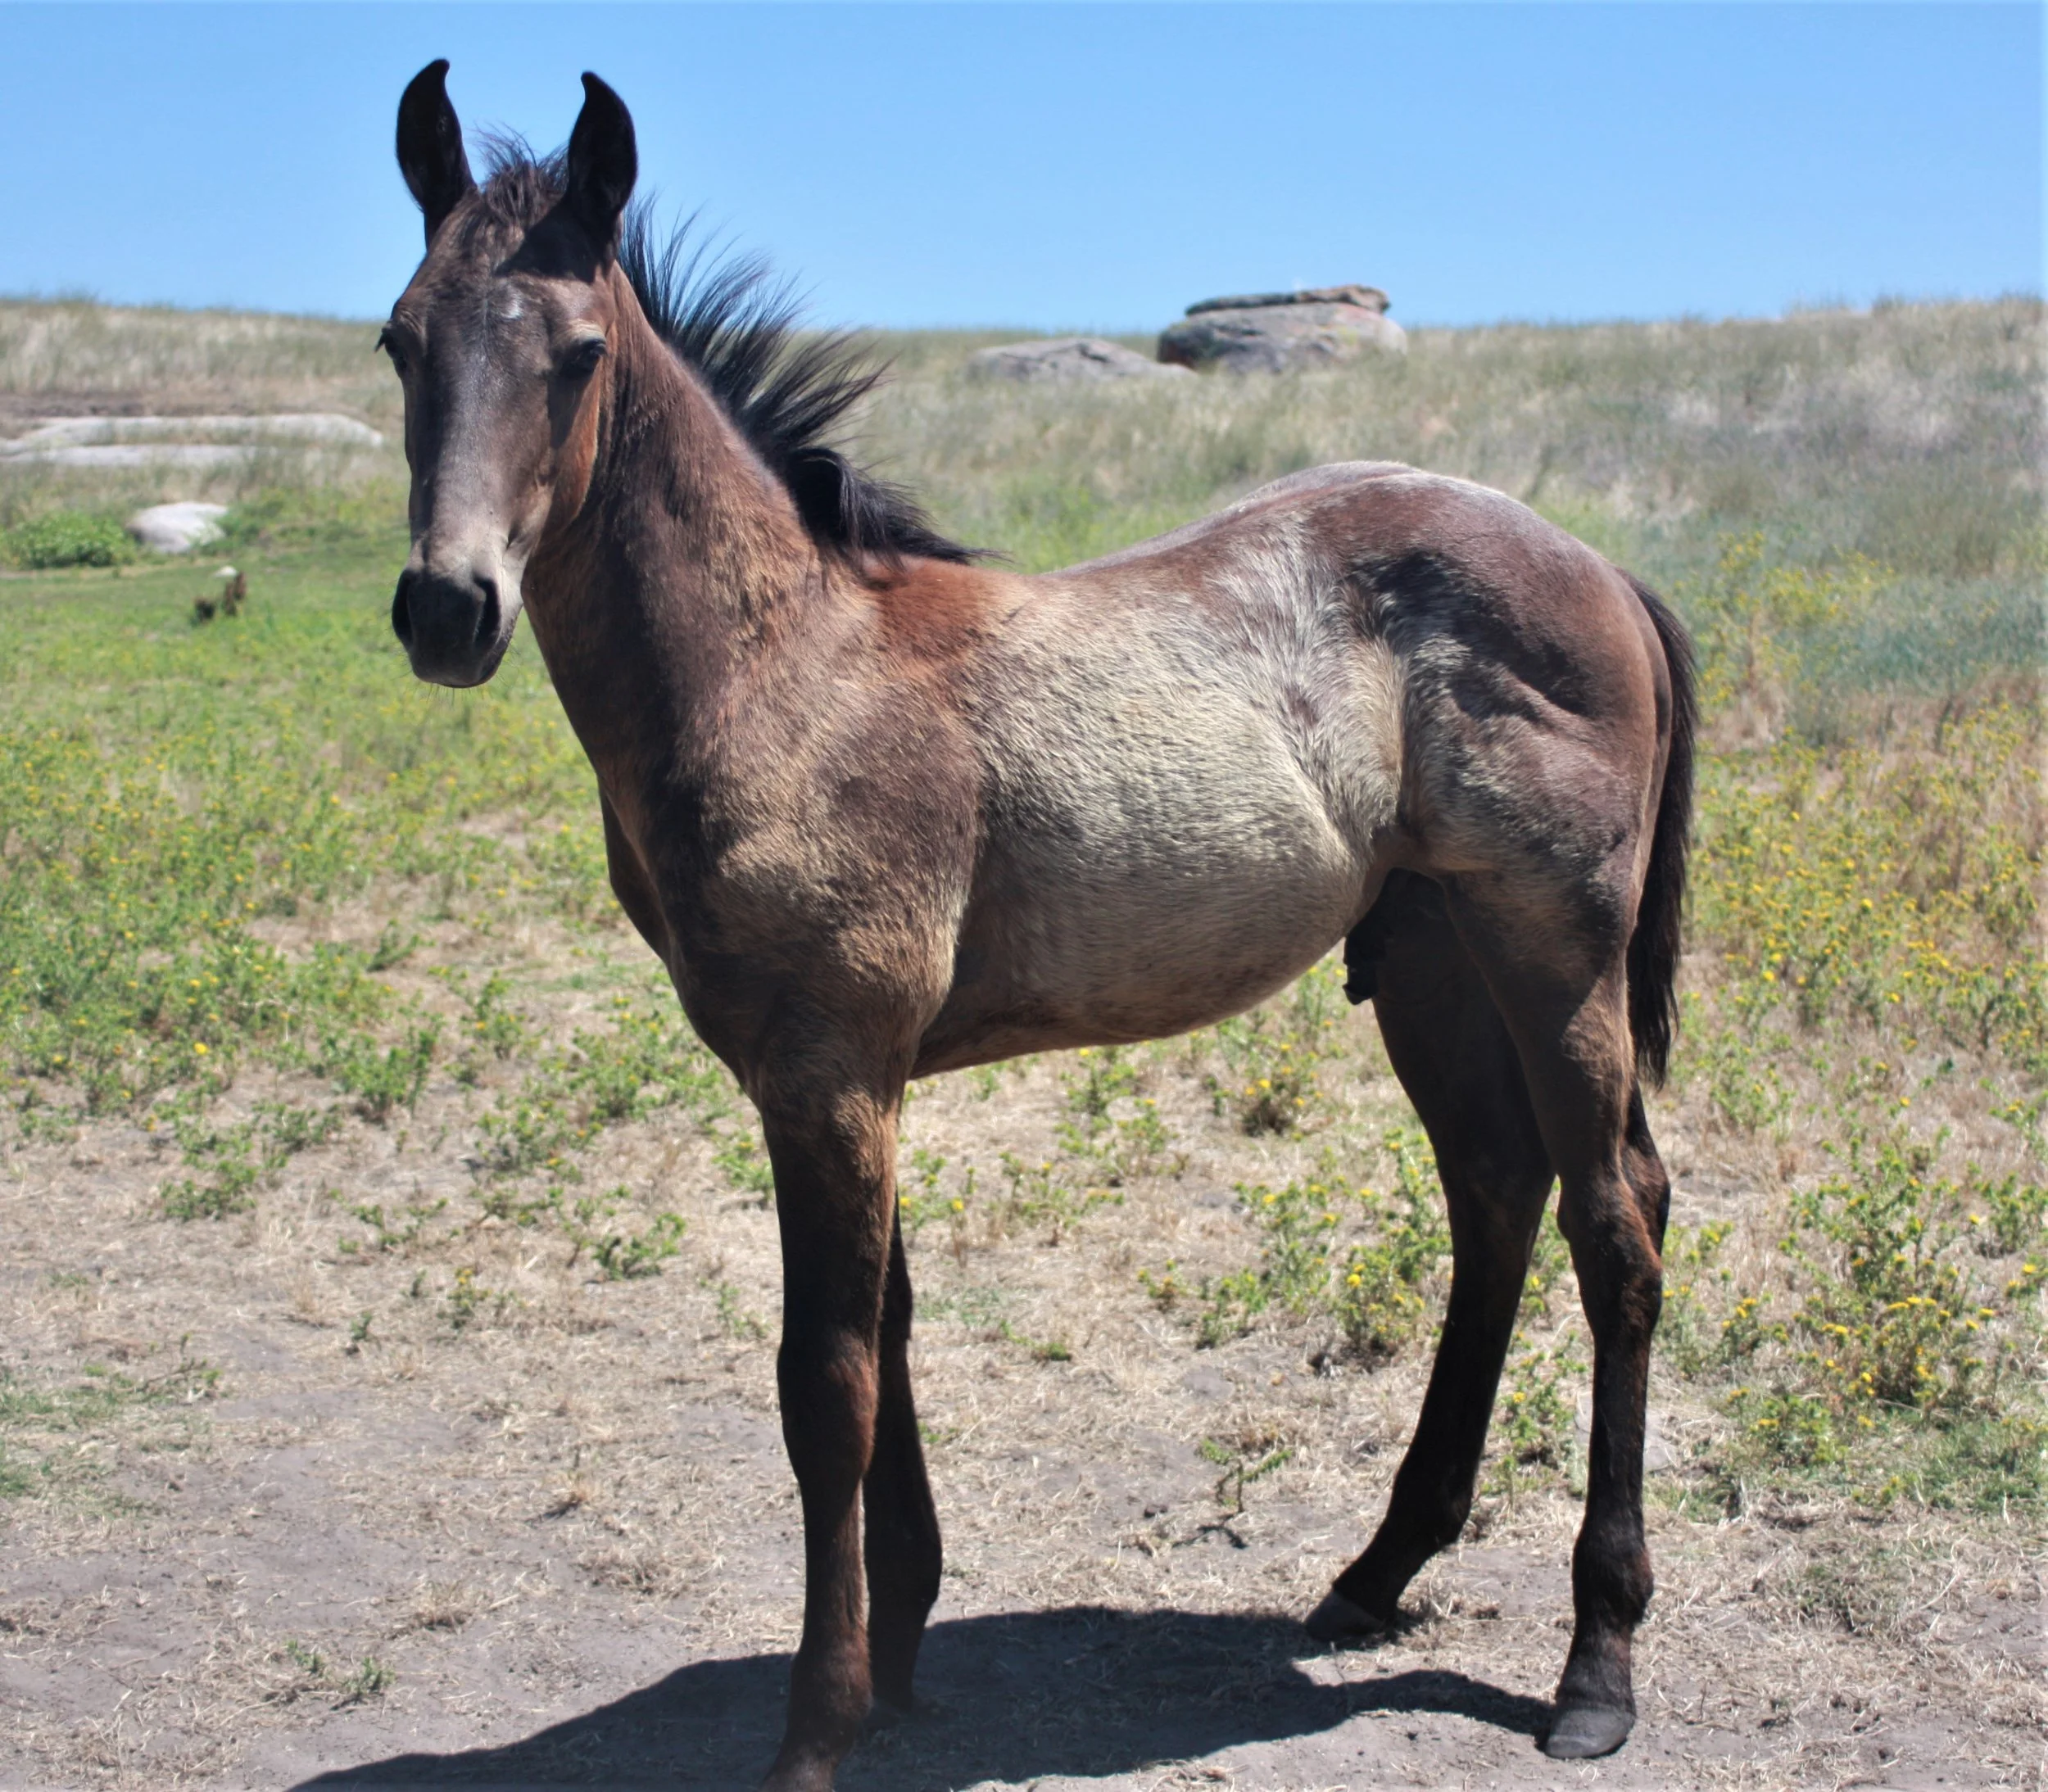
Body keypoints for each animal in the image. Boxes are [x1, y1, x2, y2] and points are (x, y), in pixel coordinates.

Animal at [379, 62, 1697, 1792]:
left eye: (579, 352)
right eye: (401, 338)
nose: (446, 609)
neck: (790, 666)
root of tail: (1598, 564)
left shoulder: (829, 1073)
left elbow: (827, 1382)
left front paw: (818, 1722)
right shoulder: (840, 1080)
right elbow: (889, 1331)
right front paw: (901, 1644)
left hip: (1559, 957)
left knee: (1615, 1228)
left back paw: (1595, 1664)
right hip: (1434, 957)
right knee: (1498, 1193)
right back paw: (1375, 1568)